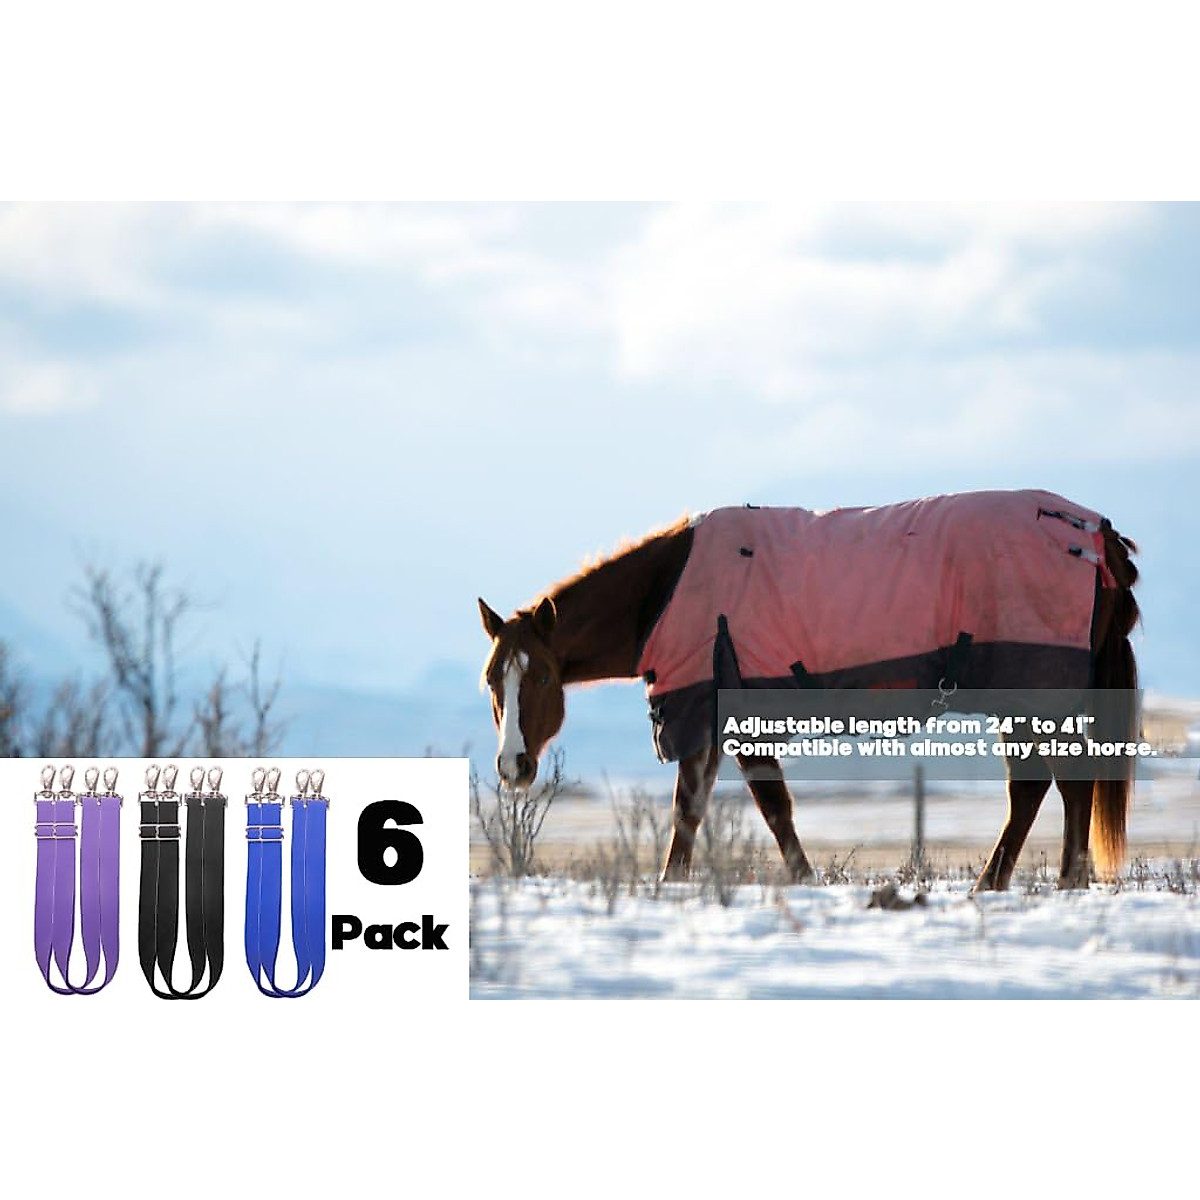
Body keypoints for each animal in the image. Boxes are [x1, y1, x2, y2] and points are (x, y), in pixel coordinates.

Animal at [478, 489, 1139, 891]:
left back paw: (1015, 885)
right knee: (1060, 784)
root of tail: (1098, 536)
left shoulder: (733, 720)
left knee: (1043, 785)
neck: (667, 591)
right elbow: (690, 812)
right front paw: (674, 887)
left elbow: (771, 810)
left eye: (540, 675)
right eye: (491, 680)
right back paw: (1047, 884)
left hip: (1030, 696)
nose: (513, 766)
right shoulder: (706, 722)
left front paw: (801, 882)